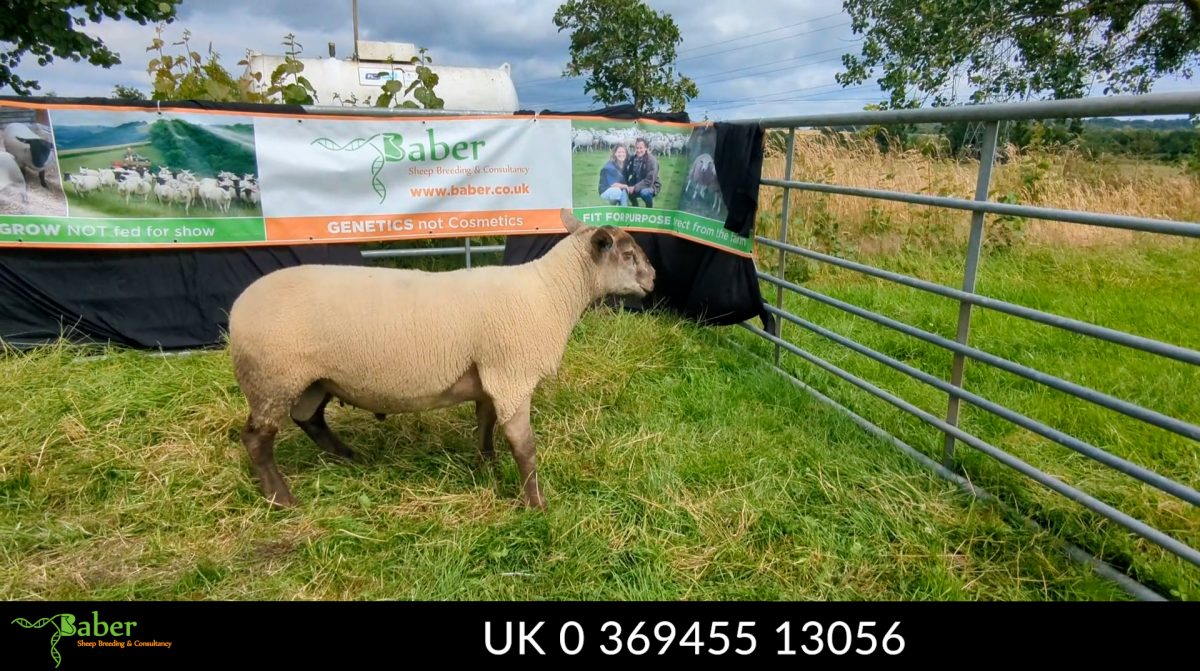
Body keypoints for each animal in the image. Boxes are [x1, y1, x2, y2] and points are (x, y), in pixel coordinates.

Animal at [226, 208, 656, 510]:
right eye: (628, 253)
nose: (653, 279)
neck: (551, 293)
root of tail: (238, 308)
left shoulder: (490, 375)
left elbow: (485, 424)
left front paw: (486, 465)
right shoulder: (512, 375)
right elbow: (525, 447)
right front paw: (536, 505)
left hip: (311, 379)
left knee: (310, 419)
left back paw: (349, 457)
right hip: (272, 378)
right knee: (257, 440)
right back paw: (282, 498)